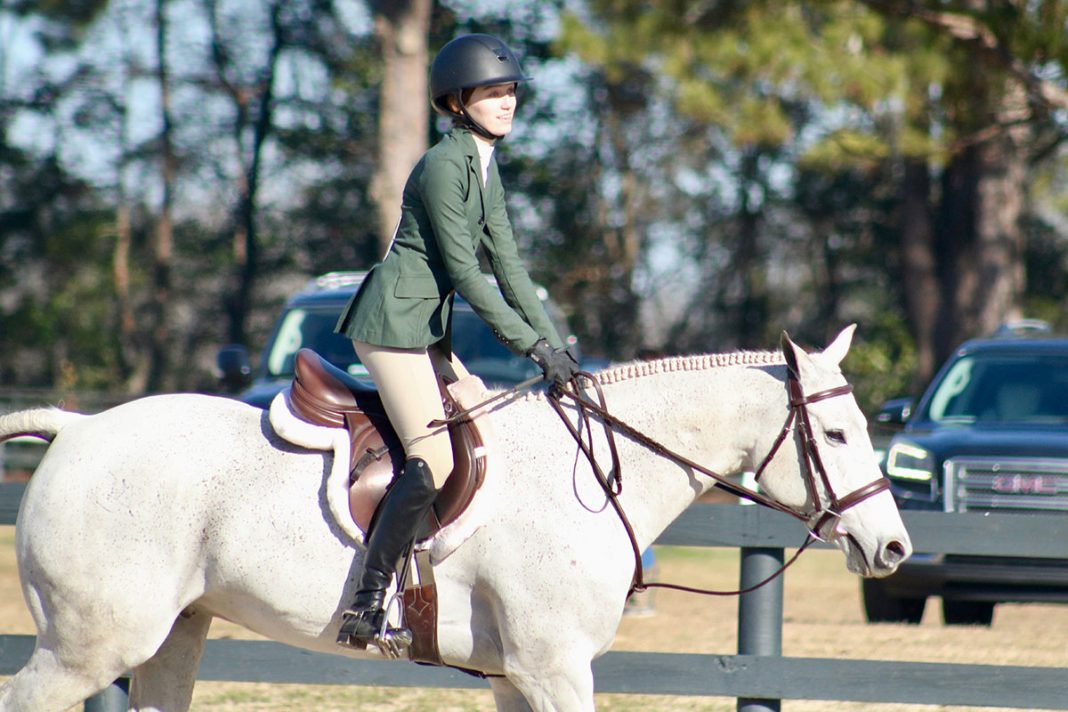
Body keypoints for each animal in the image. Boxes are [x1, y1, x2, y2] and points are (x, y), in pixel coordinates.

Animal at [0, 325, 910, 712]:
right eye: (836, 434)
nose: (893, 546)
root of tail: (78, 428)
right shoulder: (553, 670)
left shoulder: (515, 676)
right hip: (89, 646)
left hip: (173, 636)